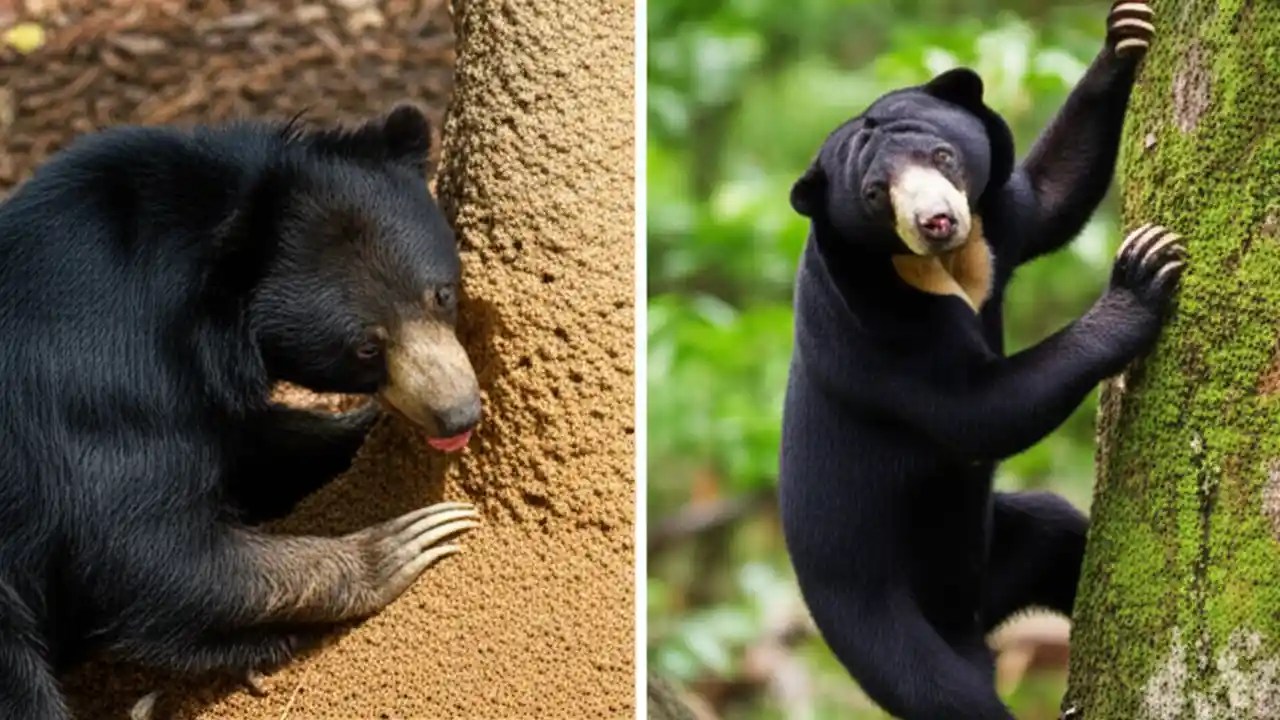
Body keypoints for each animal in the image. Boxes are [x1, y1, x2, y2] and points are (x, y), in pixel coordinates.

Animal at [0, 106, 483, 719]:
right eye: (365, 347)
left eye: (440, 295)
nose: (460, 416)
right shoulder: (99, 388)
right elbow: (141, 547)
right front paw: (399, 545)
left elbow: (253, 447)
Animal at [778, 3, 1182, 719]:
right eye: (877, 192)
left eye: (943, 155)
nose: (937, 219)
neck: (940, 267)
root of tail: (971, 631)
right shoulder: (876, 326)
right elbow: (978, 408)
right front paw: (1141, 275)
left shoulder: (994, 227)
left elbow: (1047, 198)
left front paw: (1126, 34)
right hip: (878, 618)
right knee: (948, 694)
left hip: (1001, 549)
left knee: (1057, 535)